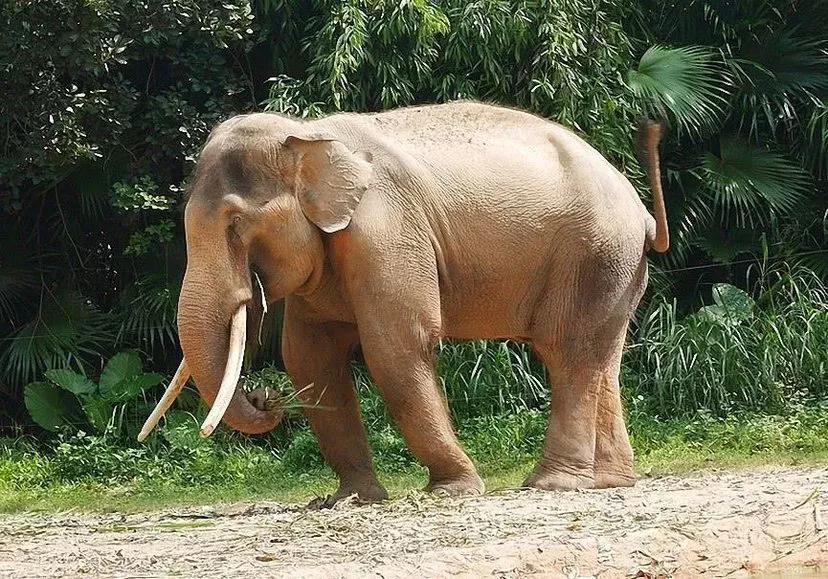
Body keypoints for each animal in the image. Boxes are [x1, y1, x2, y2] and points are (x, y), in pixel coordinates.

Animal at [139, 101, 669, 504]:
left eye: (234, 226)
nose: (263, 396)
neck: (309, 135)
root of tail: (640, 210)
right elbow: (310, 358)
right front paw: (349, 499)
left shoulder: (387, 229)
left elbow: (395, 346)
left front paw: (452, 490)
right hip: (617, 268)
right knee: (602, 358)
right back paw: (610, 481)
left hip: (594, 253)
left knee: (566, 352)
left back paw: (550, 484)